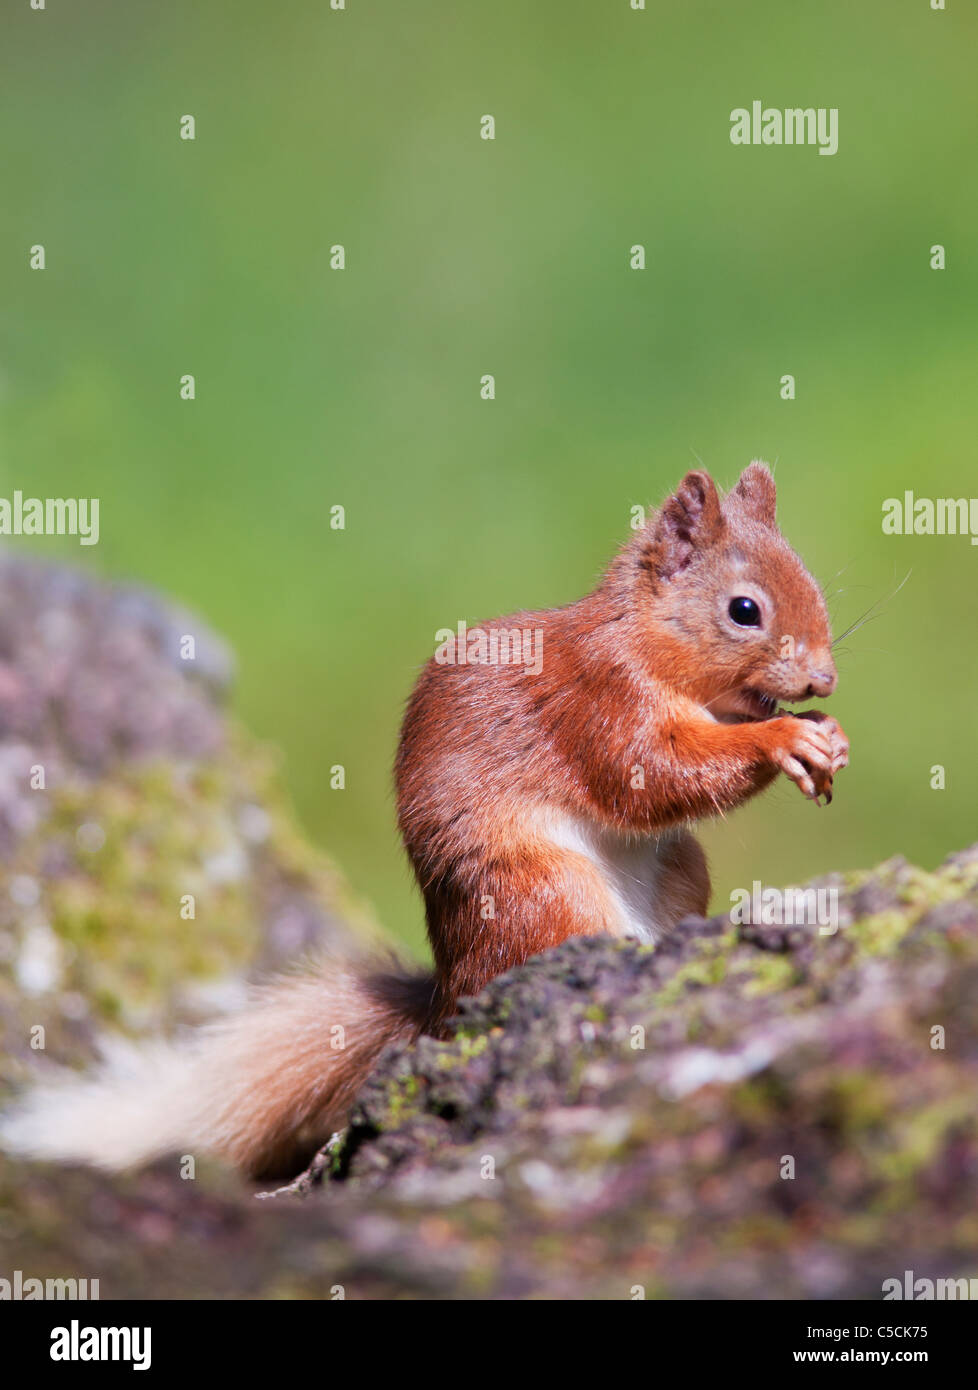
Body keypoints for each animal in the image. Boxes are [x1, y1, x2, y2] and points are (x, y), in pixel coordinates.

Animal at [0, 463, 848, 1178]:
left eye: (815, 584)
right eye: (745, 611)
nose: (824, 678)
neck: (648, 636)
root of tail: (445, 1001)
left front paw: (824, 735)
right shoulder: (601, 703)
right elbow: (656, 774)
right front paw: (785, 738)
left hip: (677, 869)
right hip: (545, 890)